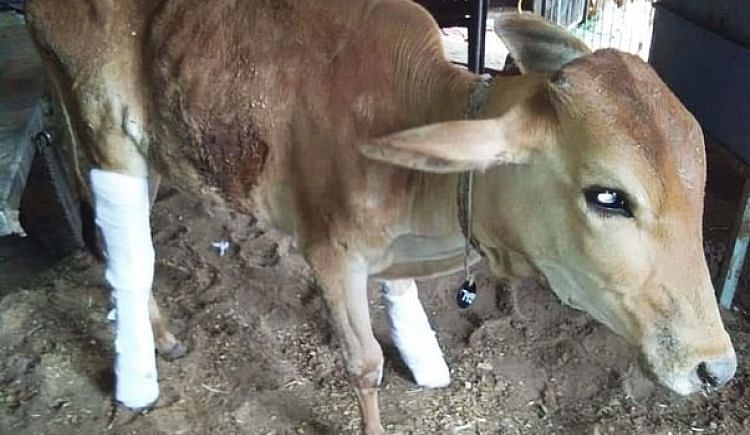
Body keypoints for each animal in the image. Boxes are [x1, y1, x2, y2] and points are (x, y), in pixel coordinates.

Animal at [25, 0, 736, 433]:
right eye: (608, 196)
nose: (717, 368)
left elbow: (401, 292)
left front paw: (422, 356)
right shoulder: (329, 253)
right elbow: (363, 361)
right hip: (107, 127)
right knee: (130, 254)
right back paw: (138, 376)